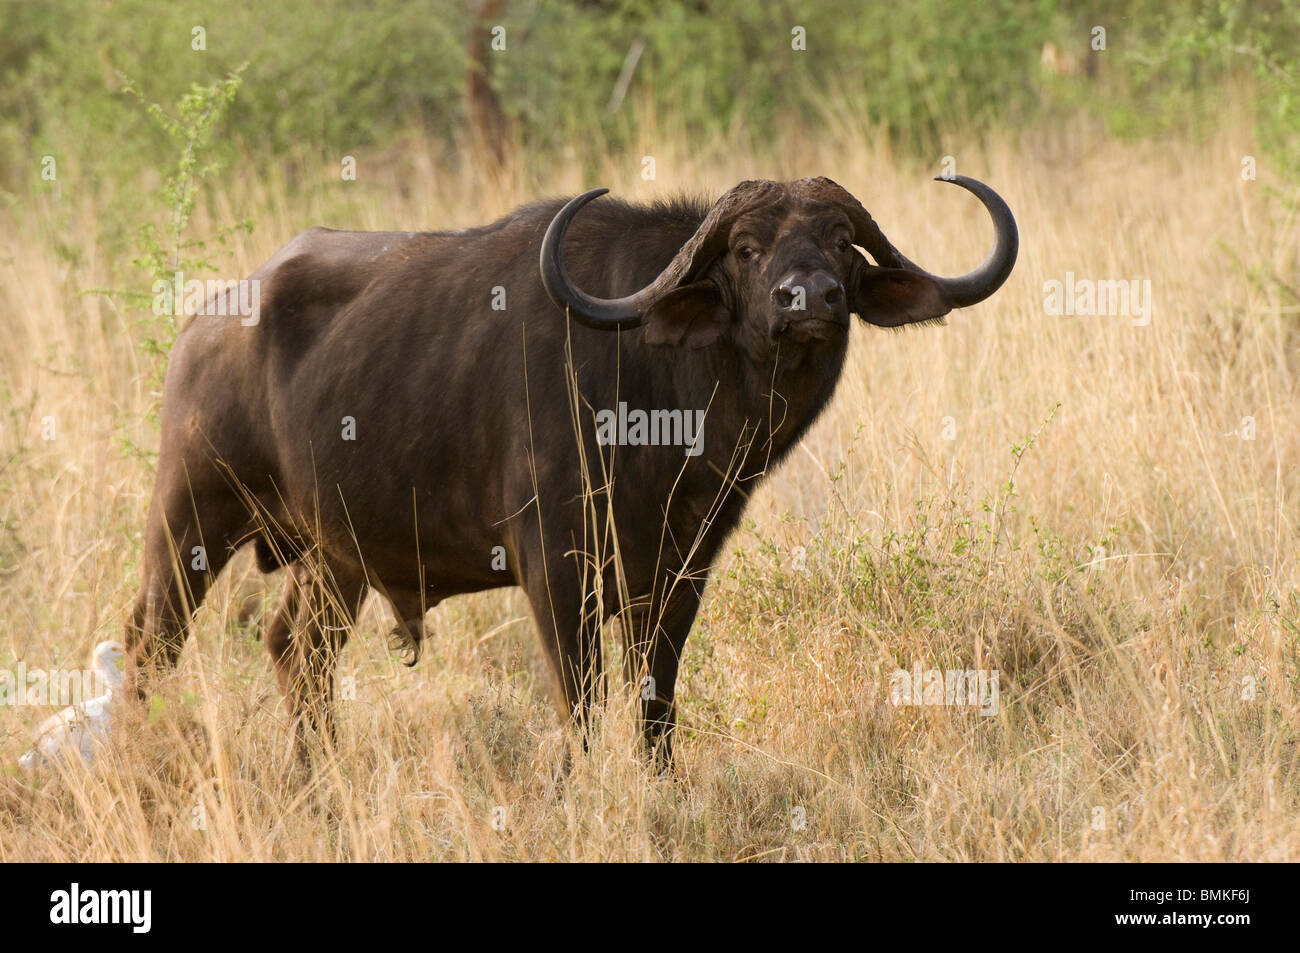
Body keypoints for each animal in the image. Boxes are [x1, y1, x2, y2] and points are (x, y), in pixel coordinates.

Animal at [124, 174, 1017, 765]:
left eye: (840, 242)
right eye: (748, 249)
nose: (812, 299)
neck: (662, 387)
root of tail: (208, 322)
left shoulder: (680, 570)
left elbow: (656, 698)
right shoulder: (554, 565)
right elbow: (581, 703)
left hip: (332, 555)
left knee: (296, 649)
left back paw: (322, 770)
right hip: (190, 519)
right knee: (148, 642)